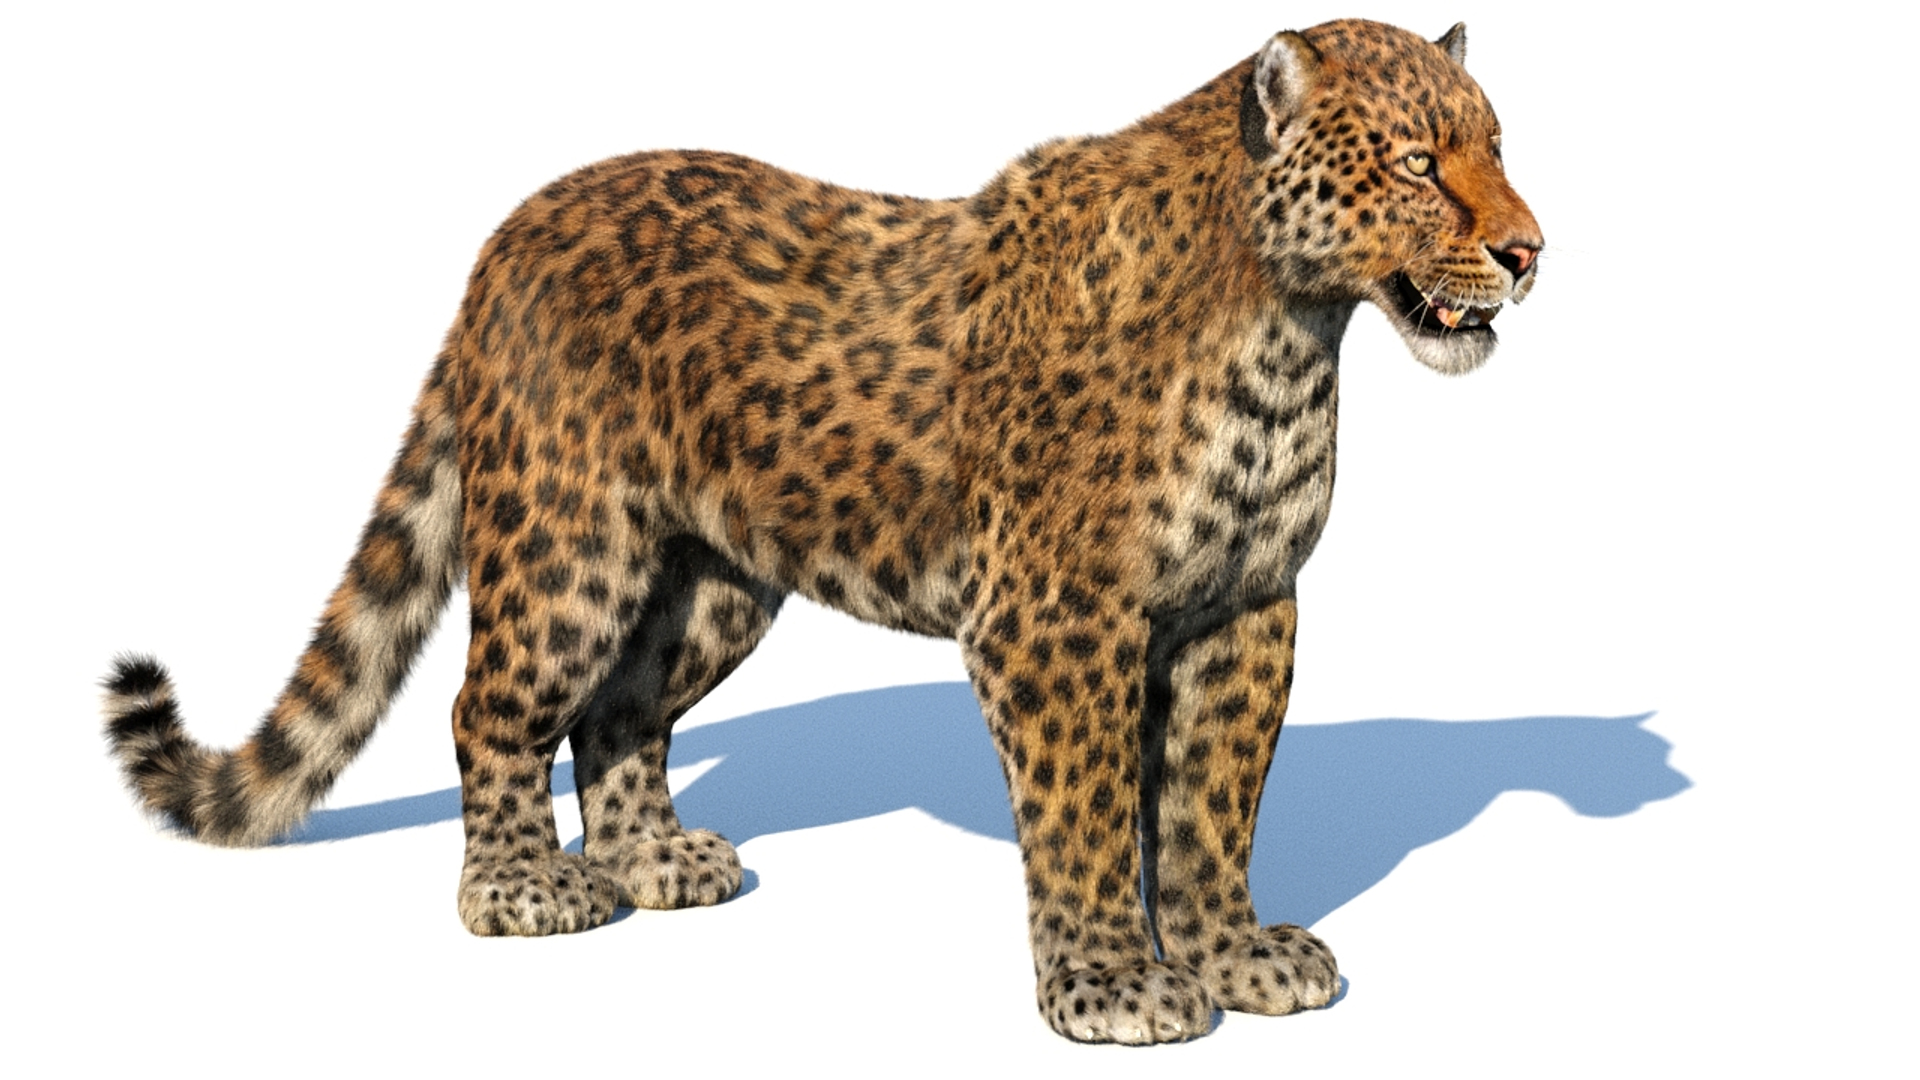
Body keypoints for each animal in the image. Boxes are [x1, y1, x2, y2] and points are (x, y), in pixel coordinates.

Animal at [102, 18, 1541, 1044]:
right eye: (1420, 163)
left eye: (1498, 148)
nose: (1530, 251)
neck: (1290, 328)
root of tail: (509, 238)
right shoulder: (1057, 620)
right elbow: (1085, 806)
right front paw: (1110, 988)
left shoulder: (1246, 608)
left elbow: (1210, 803)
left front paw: (1234, 954)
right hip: (573, 546)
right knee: (493, 707)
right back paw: (522, 890)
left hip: (710, 585)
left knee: (618, 710)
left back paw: (654, 861)